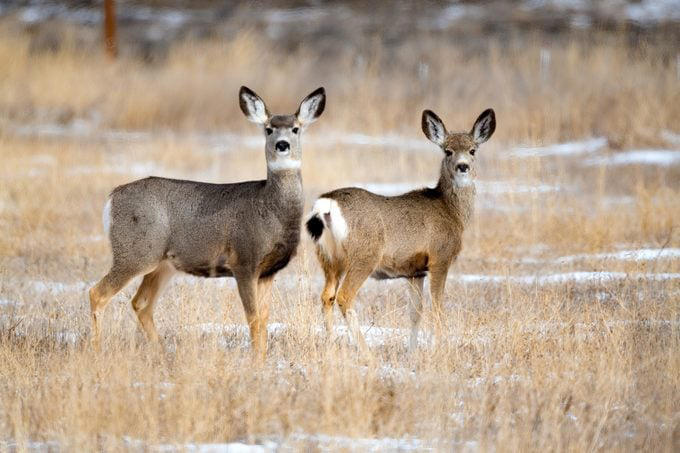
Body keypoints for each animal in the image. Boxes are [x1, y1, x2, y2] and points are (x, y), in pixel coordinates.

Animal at [89, 86, 326, 357]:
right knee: (98, 293)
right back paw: (97, 351)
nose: (282, 144)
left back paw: (162, 353)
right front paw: (255, 361)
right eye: (268, 129)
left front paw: (262, 359)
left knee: (141, 303)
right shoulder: (243, 261)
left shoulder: (268, 271)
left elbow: (264, 319)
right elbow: (253, 318)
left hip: (163, 264)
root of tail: (111, 198)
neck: (271, 210)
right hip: (136, 252)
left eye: (295, 128)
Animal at [306, 108, 495, 351]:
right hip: (365, 254)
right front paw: (438, 348)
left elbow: (415, 312)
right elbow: (437, 307)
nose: (463, 166)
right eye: (448, 151)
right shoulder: (440, 258)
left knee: (326, 296)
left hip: (328, 258)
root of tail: (327, 204)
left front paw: (412, 350)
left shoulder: (414, 271)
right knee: (344, 297)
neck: (451, 211)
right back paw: (365, 351)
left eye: (472, 150)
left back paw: (331, 345)